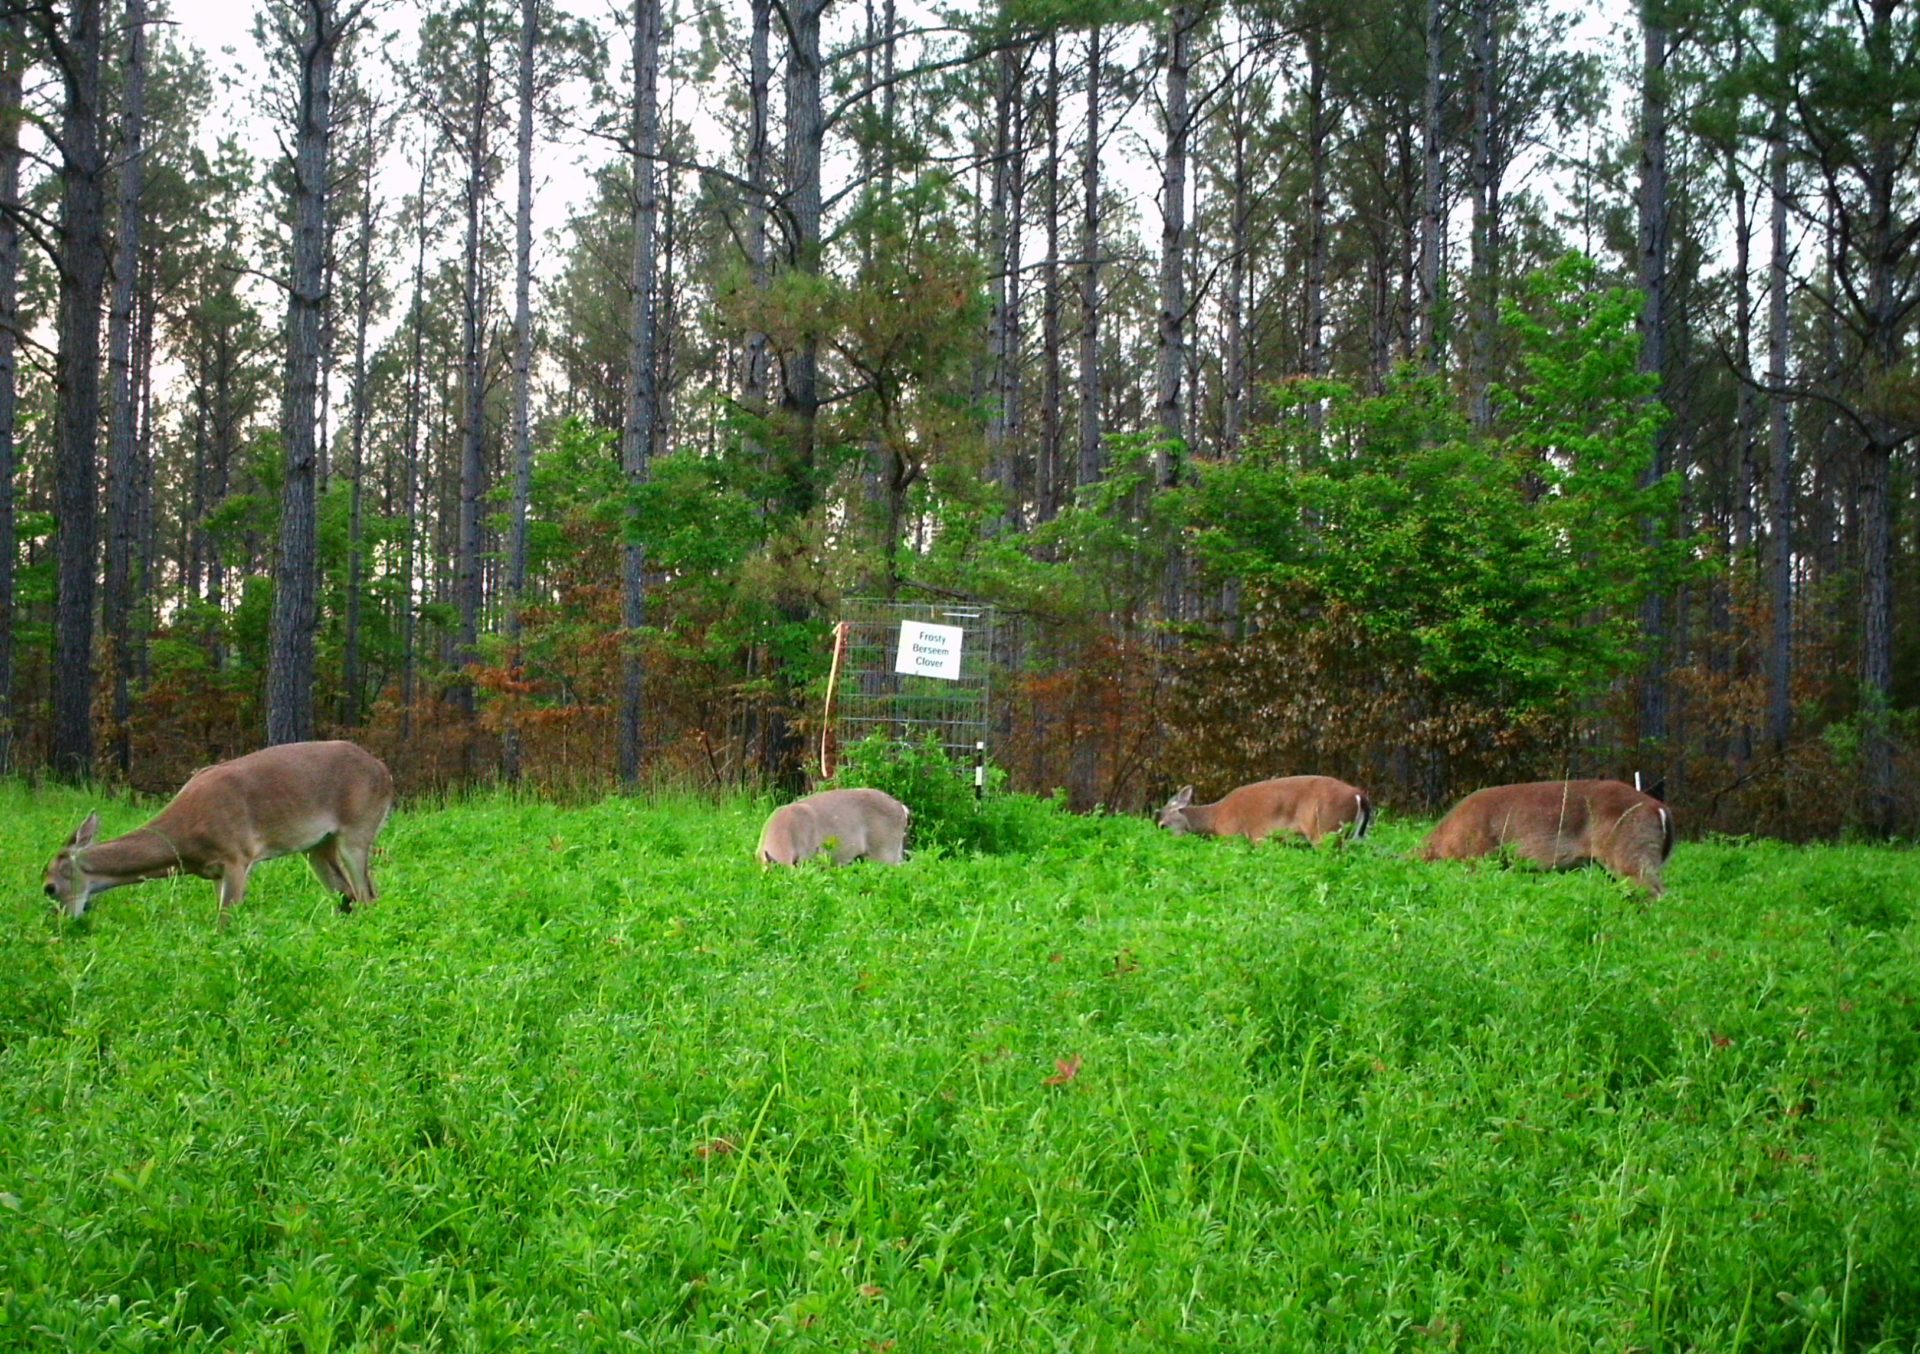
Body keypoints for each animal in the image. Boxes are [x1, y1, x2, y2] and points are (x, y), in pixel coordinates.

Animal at [42, 740, 395, 925]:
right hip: (317, 845)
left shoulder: (237, 855)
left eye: (49, 888)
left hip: (357, 828)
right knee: (346, 894)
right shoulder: (214, 872)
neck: (185, 840)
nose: (61, 925)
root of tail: (384, 771)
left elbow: (225, 921)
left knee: (368, 894)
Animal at [1157, 775, 1373, 846]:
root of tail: (1358, 794)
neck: (1215, 817)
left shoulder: (1235, 835)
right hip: (1351, 835)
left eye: (1162, 825)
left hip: (1327, 828)